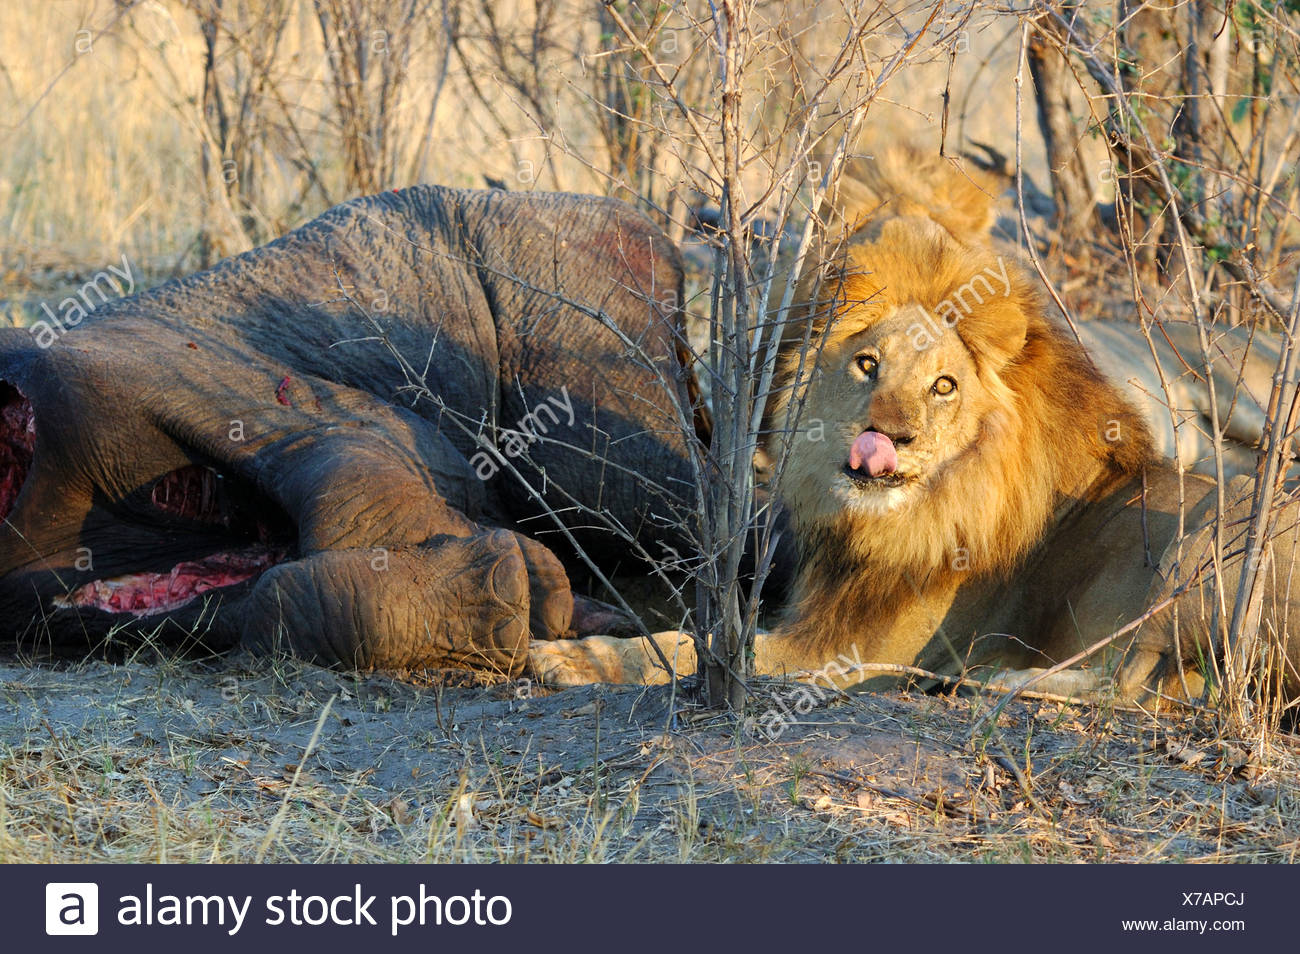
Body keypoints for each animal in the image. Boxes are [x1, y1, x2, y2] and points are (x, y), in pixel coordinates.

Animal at [530, 144, 1300, 706]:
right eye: (867, 364)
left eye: (944, 387)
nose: (888, 441)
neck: (897, 521)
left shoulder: (843, 652)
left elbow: (691, 643)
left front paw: (566, 658)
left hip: (1213, 533)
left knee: (1135, 683)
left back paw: (1003, 678)